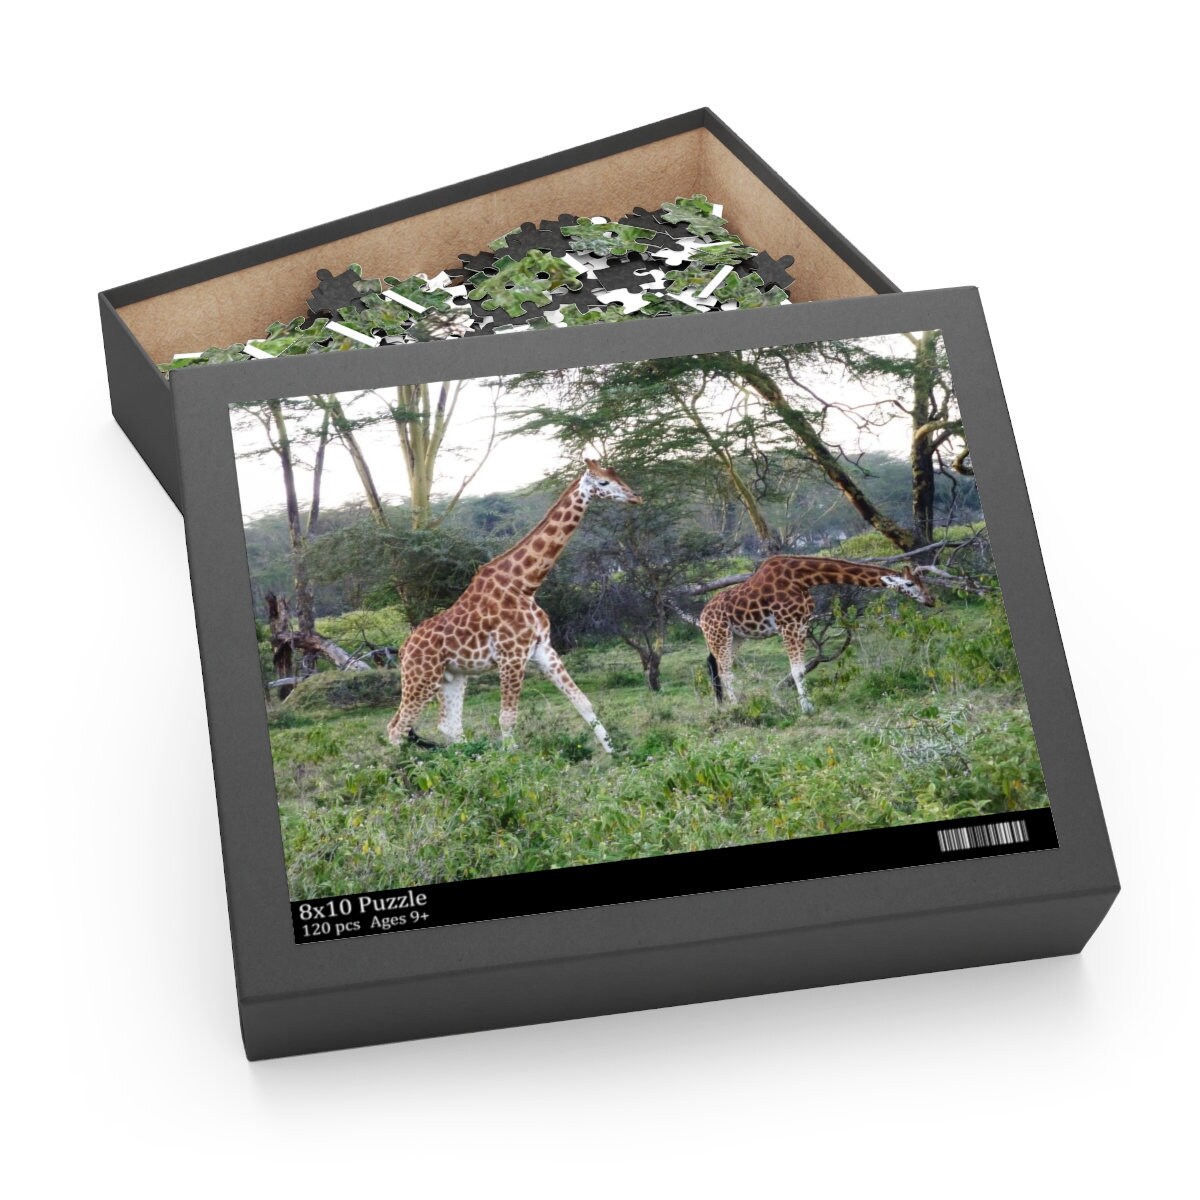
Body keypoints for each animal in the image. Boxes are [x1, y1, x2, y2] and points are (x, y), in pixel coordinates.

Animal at [386, 461, 642, 752]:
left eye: (616, 475)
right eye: (603, 483)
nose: (635, 497)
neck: (525, 585)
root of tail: (404, 649)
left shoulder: (544, 650)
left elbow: (583, 702)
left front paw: (614, 752)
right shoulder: (512, 655)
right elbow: (507, 718)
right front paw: (512, 759)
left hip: (452, 676)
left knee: (448, 725)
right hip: (421, 678)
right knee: (396, 729)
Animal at [699, 556, 933, 711]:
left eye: (923, 582)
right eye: (910, 583)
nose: (931, 600)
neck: (803, 578)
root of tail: (702, 616)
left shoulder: (801, 624)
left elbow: (801, 669)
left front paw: (807, 705)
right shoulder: (788, 624)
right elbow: (797, 671)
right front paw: (807, 709)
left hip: (737, 637)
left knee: (718, 666)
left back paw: (723, 705)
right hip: (720, 634)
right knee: (725, 670)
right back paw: (736, 706)